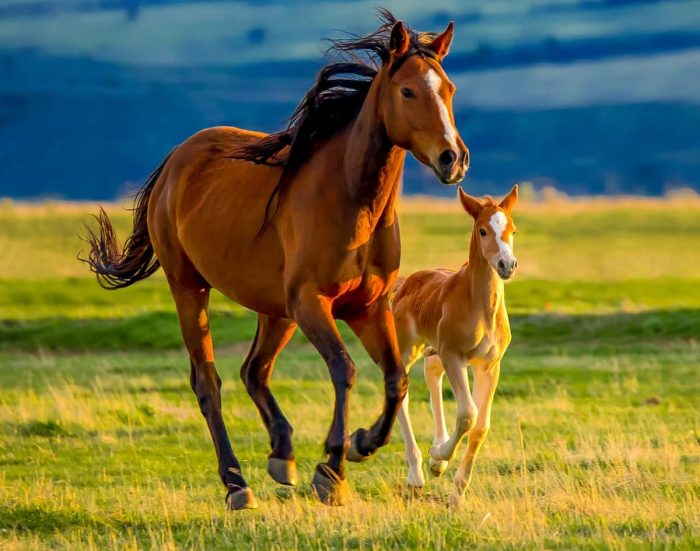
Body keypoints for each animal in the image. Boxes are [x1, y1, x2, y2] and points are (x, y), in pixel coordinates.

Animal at [81, 10, 469, 509]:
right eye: (407, 91)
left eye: (449, 89)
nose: (453, 159)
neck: (351, 201)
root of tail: (176, 161)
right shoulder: (312, 303)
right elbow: (344, 370)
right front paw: (332, 469)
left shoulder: (367, 308)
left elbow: (395, 379)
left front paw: (361, 443)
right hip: (191, 289)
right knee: (208, 382)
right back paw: (236, 483)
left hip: (275, 311)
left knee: (254, 371)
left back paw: (282, 455)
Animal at [391, 185, 518, 507]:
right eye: (483, 230)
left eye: (512, 229)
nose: (507, 265)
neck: (480, 306)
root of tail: (405, 282)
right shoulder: (454, 355)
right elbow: (467, 414)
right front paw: (438, 456)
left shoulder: (489, 365)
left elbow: (481, 426)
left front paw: (456, 493)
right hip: (408, 348)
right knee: (401, 390)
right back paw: (417, 474)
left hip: (434, 350)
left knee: (431, 372)